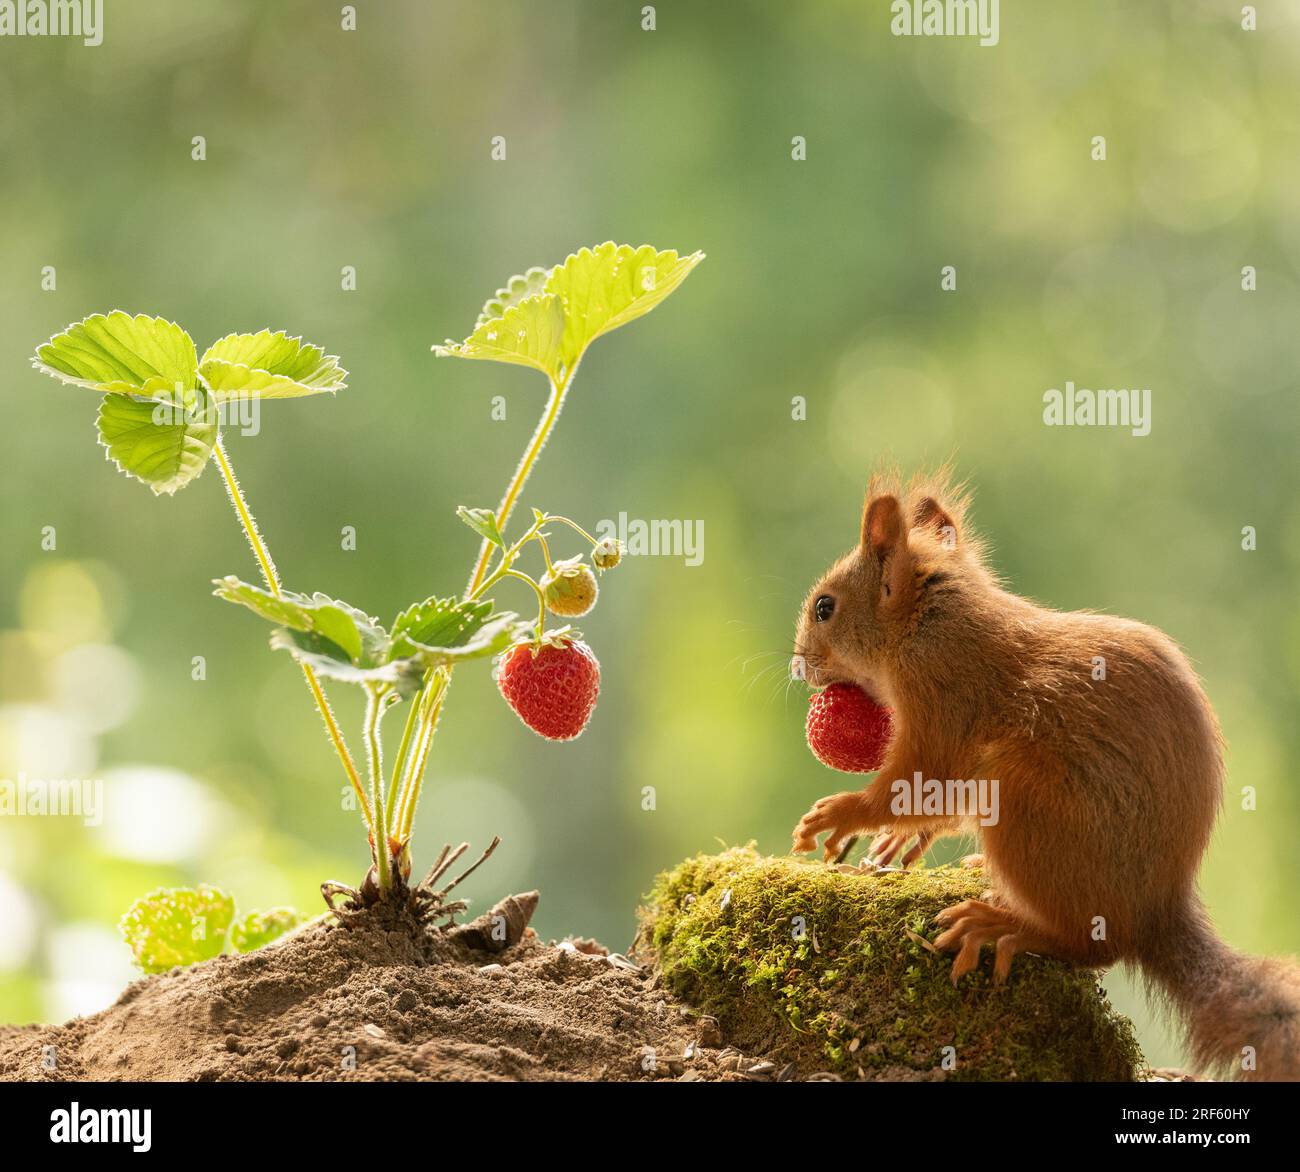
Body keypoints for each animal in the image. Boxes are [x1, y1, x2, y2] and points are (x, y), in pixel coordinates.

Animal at [790, 469, 1300, 1081]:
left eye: (825, 607)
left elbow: (921, 782)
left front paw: (844, 814)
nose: (798, 663)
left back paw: (1003, 925)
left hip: (1027, 808)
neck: (927, 623)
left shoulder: (943, 696)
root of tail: (1154, 912)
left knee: (1093, 946)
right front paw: (898, 841)